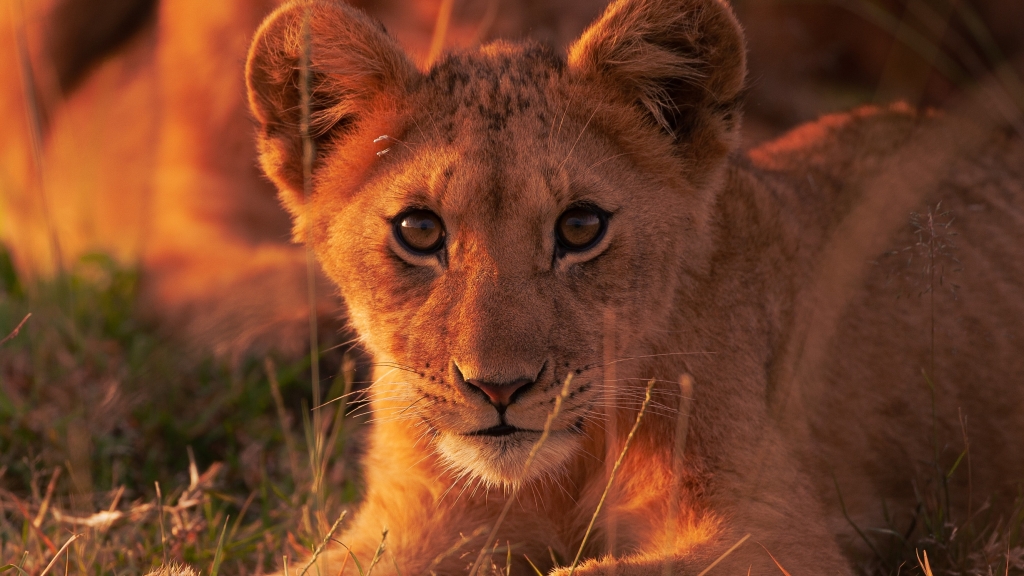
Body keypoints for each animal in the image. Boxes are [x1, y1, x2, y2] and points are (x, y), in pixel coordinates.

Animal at [242, 0, 1024, 573]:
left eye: (581, 227)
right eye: (420, 231)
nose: (499, 389)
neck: (561, 474)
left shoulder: (778, 533)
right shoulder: (408, 521)